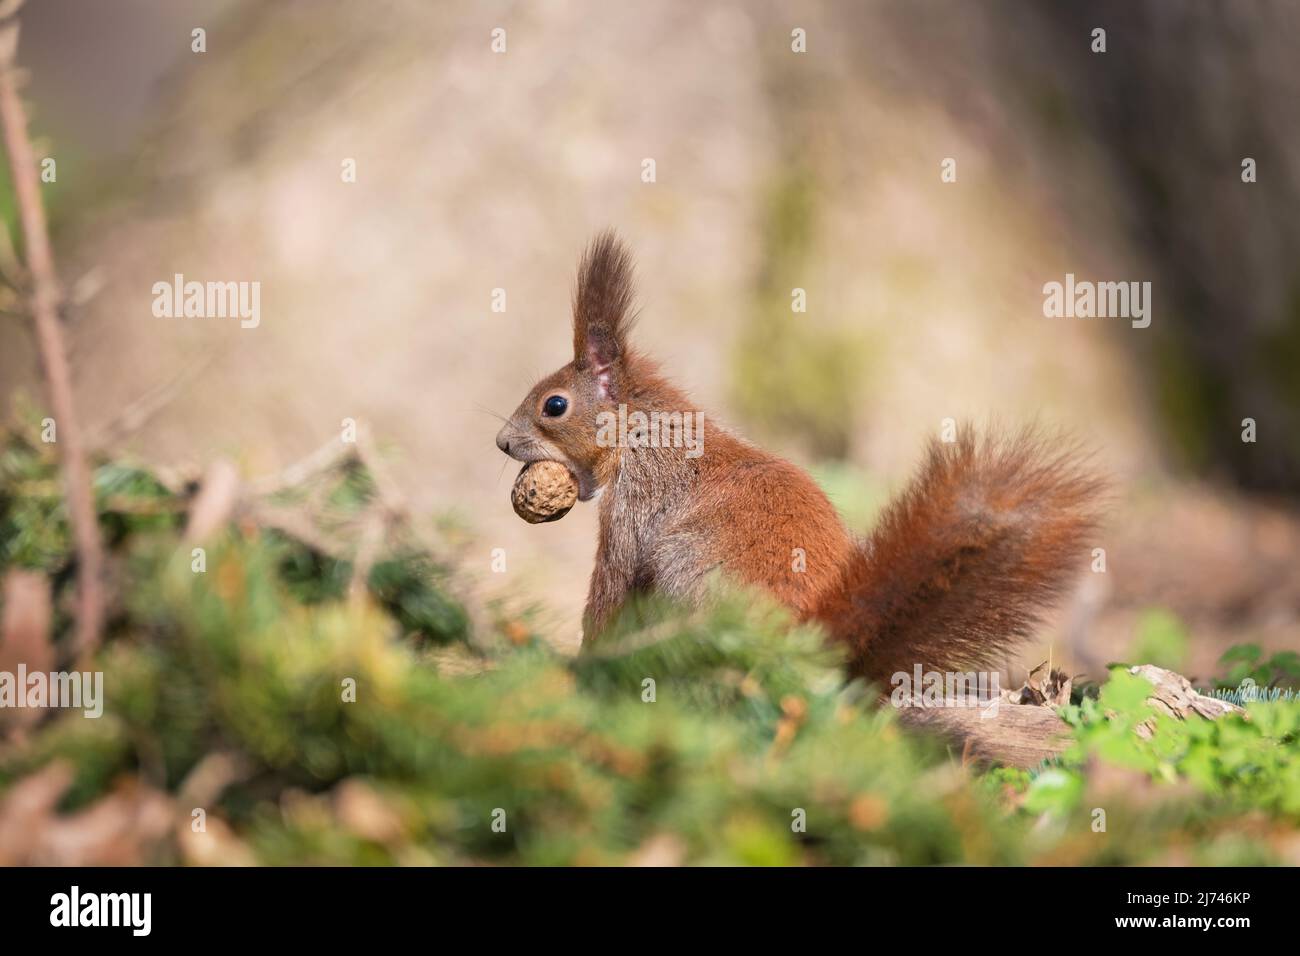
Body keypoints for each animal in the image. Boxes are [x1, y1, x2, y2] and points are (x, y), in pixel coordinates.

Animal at [495, 231, 1105, 685]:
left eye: (554, 405)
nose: (502, 442)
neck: (645, 432)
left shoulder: (636, 507)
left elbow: (610, 588)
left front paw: (583, 662)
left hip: (685, 573)